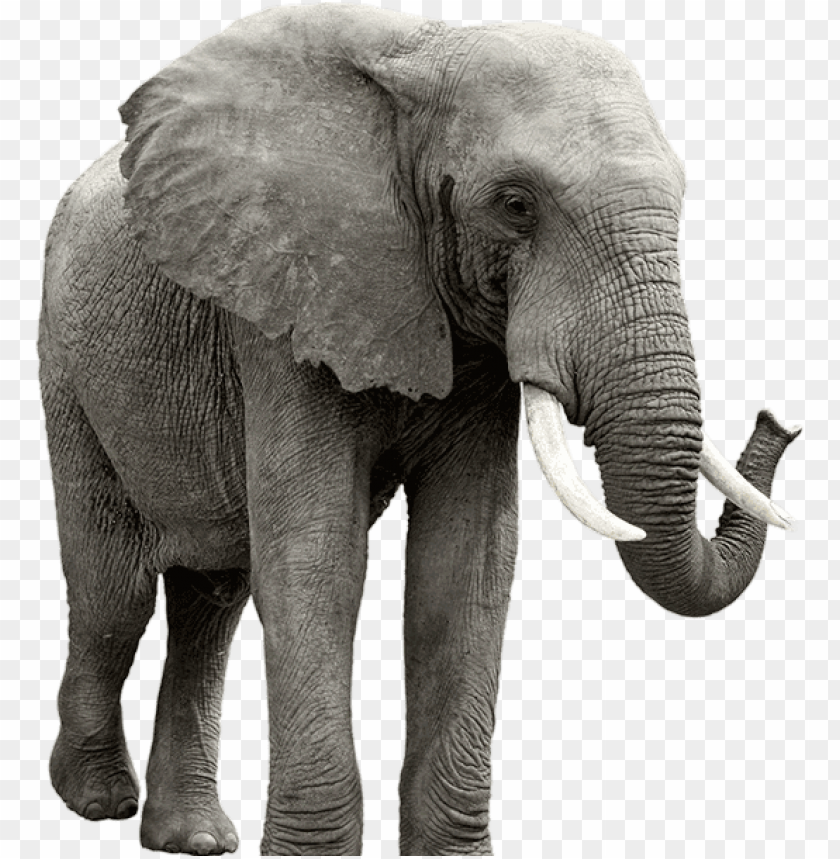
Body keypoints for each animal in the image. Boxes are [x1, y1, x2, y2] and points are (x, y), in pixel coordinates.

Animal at [39, 4, 799, 856]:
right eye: (516, 204)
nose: (777, 421)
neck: (424, 56)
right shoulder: (286, 302)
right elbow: (317, 562)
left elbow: (464, 566)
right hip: (69, 368)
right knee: (115, 590)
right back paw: (95, 799)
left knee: (212, 594)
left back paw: (192, 837)